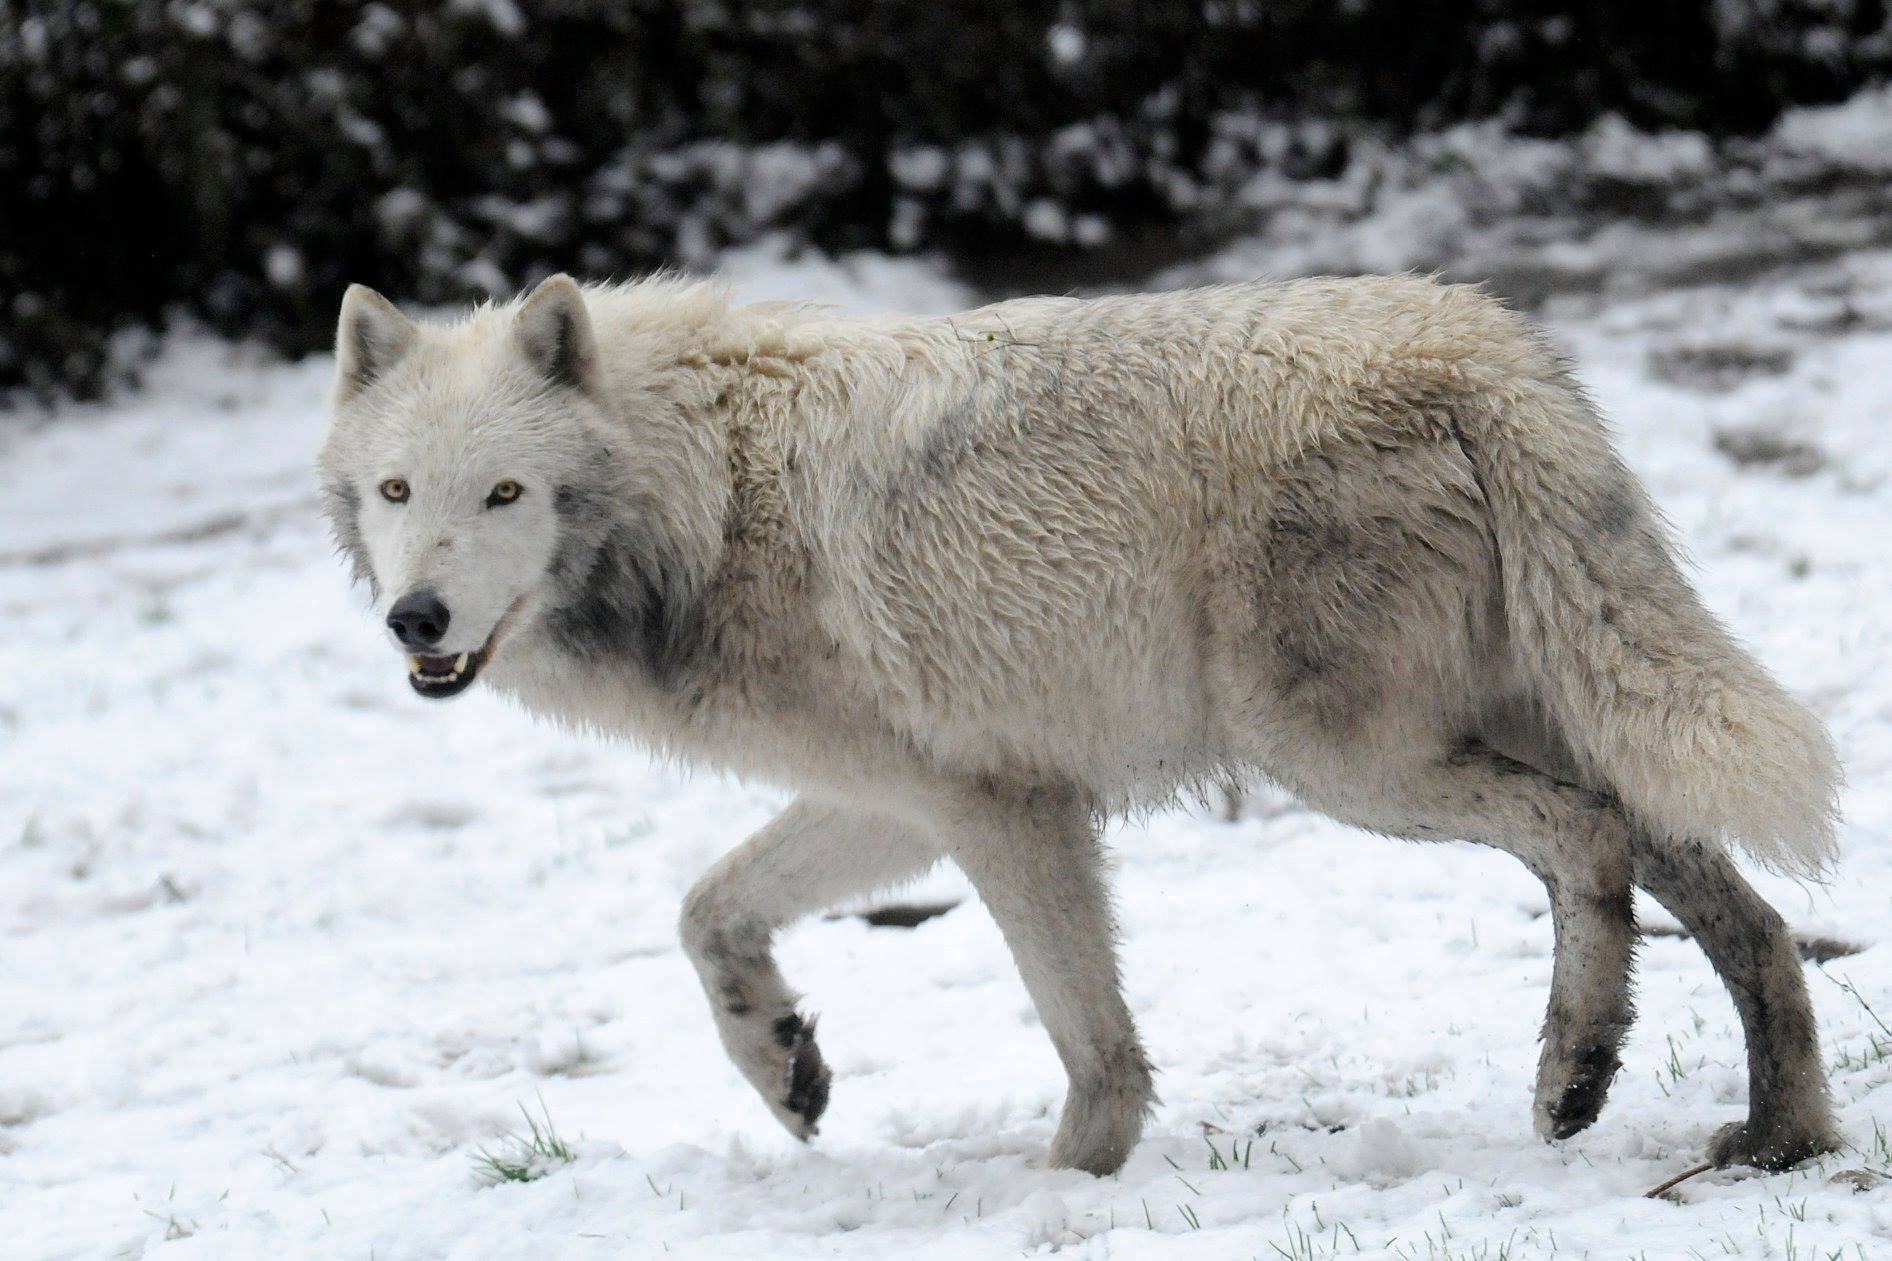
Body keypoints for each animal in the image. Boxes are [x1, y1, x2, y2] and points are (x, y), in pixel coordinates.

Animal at [317, 271, 1843, 1176]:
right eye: (397, 492)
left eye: (505, 494)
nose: (418, 621)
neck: (710, 493)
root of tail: (1479, 345)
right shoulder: (897, 799)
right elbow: (706, 913)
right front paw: (783, 1065)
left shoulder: (1004, 806)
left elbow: (1093, 1042)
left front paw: (1068, 1188)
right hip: (1547, 728)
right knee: (1746, 918)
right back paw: (1777, 1135)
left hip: (1349, 767)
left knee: (1587, 845)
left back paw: (1575, 1071)